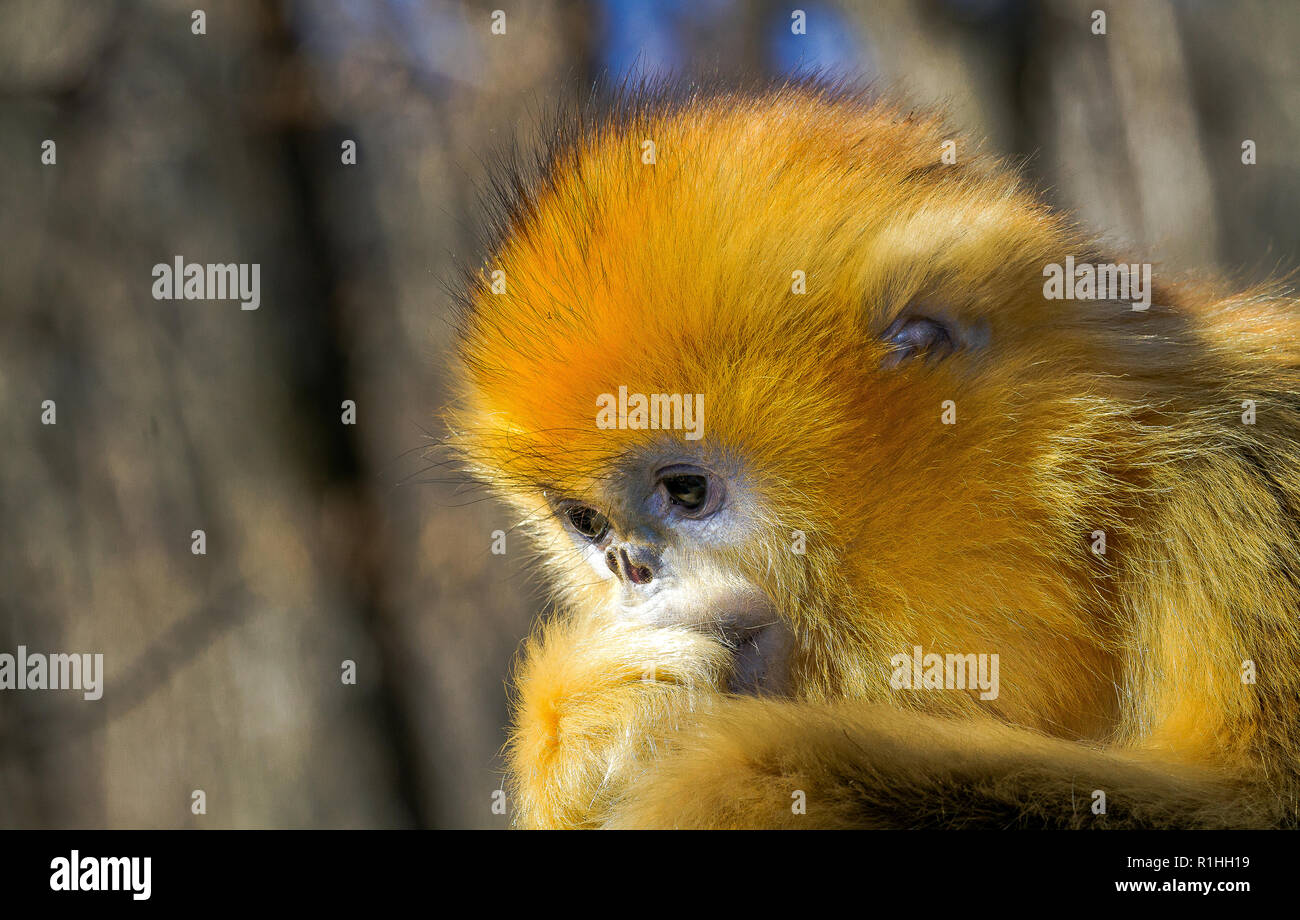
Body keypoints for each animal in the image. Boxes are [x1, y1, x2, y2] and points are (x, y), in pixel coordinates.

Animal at [447, 81, 1300, 829]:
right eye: (586, 524)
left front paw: (727, 781)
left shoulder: (1242, 493)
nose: (630, 568)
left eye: (687, 491)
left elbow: (1252, 806)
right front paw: (580, 731)